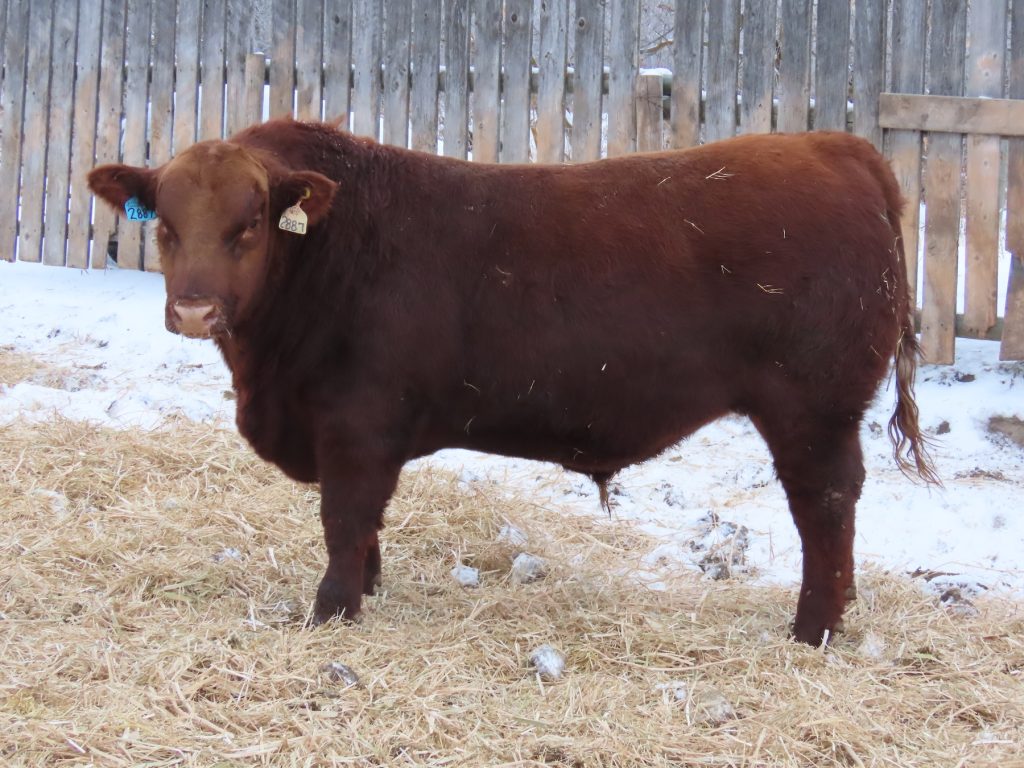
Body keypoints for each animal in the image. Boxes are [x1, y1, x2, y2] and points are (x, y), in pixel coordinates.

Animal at [88, 119, 937, 645]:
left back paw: (814, 630)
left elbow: (344, 518)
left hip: (813, 407)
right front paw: (369, 589)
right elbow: (366, 529)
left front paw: (332, 612)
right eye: (166, 225)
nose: (194, 309)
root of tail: (836, 145)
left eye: (251, 224)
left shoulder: (358, 425)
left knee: (826, 507)